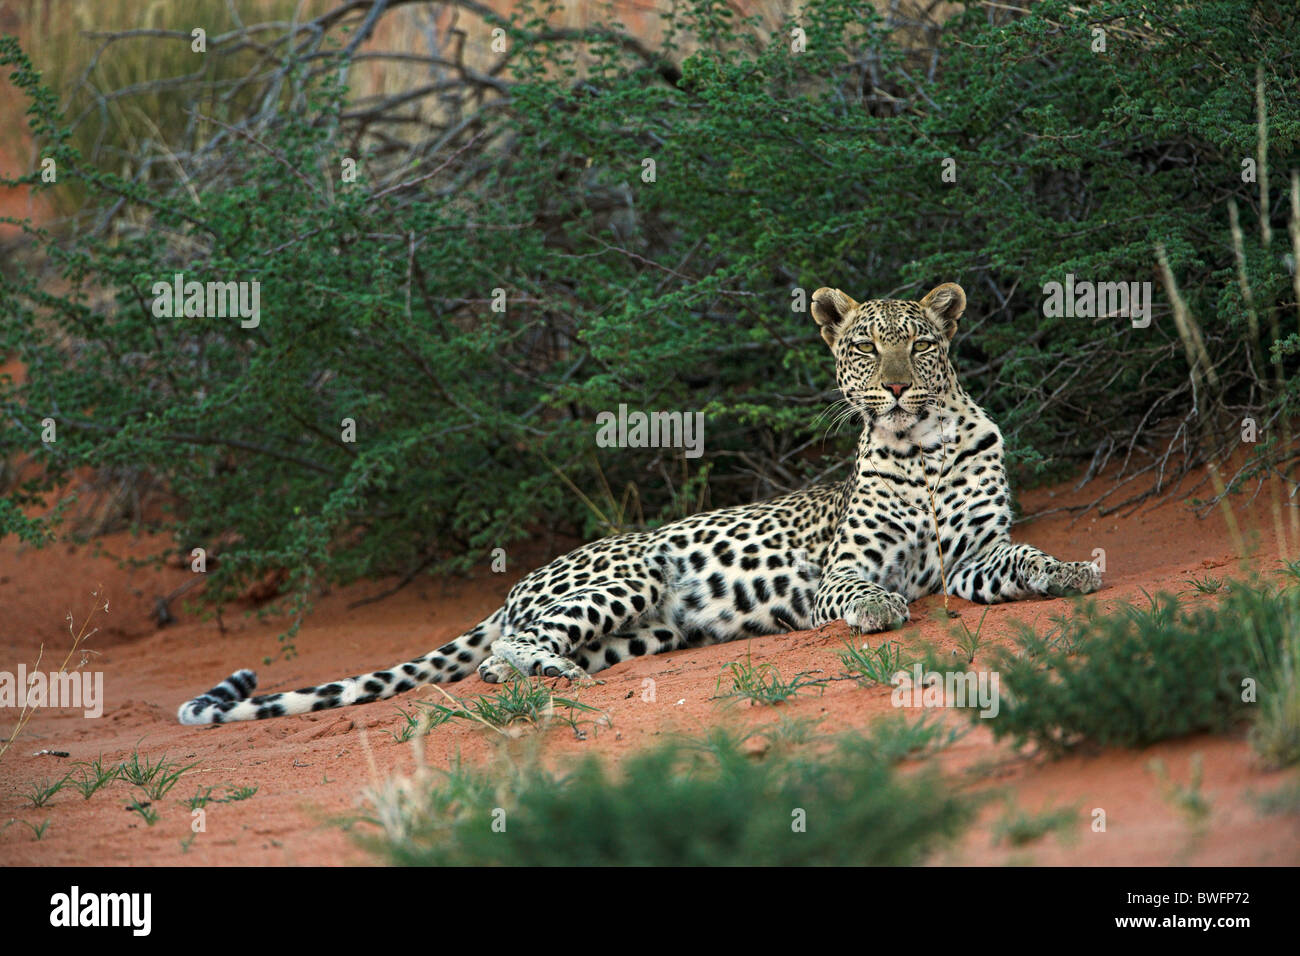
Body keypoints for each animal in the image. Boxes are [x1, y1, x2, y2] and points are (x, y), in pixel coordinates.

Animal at [178, 281, 1101, 724]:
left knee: (517, 656)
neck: (926, 449)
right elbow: (859, 587)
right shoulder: (846, 563)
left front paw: (1071, 574)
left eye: (920, 343)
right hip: (627, 576)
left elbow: (1019, 556)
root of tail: (519, 583)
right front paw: (877, 611)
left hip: (650, 627)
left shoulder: (975, 556)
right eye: (866, 348)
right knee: (500, 656)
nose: (901, 389)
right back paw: (543, 671)